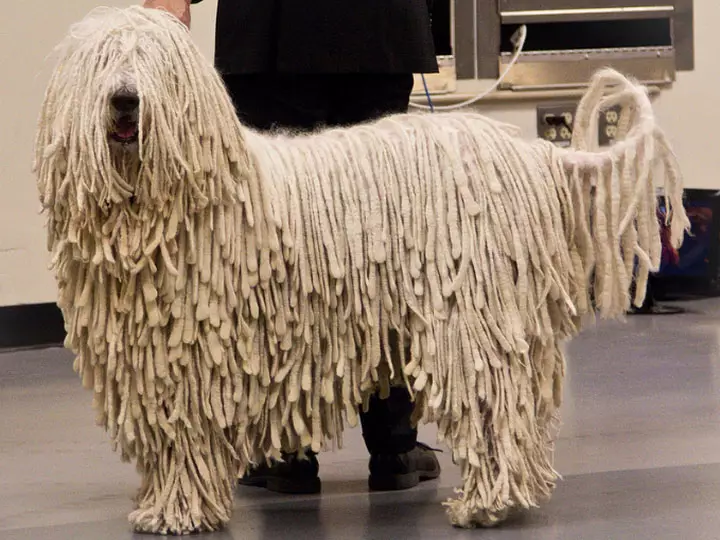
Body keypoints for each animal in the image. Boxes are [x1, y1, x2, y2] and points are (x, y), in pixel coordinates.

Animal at [35, 6, 692, 536]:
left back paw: (484, 504)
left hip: (467, 317)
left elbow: (185, 435)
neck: (155, 212)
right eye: (104, 62)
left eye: (151, 64)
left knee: (490, 402)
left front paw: (180, 512)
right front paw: (163, 505)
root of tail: (529, 154)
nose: (125, 98)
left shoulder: (190, 358)